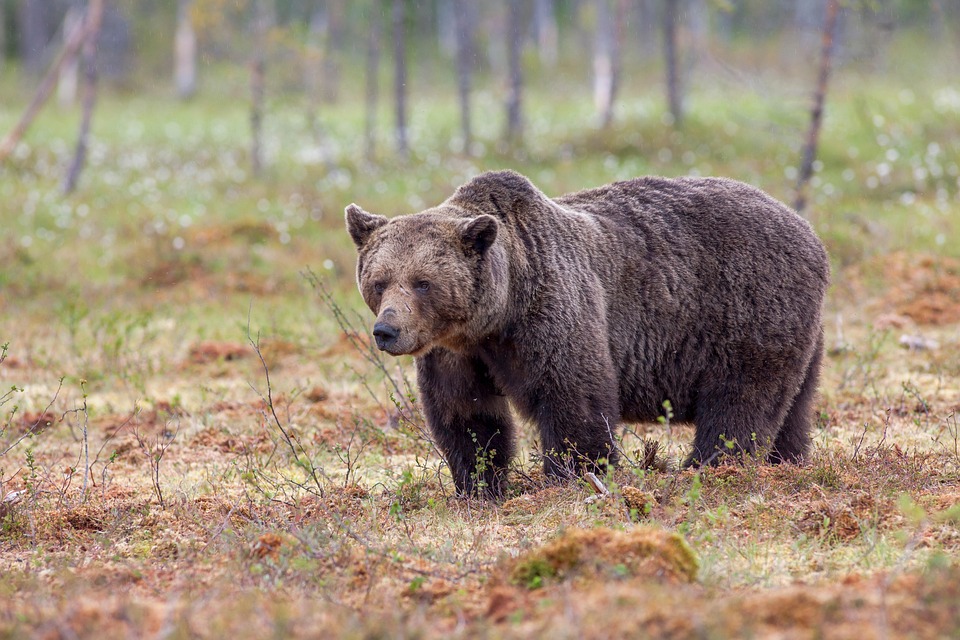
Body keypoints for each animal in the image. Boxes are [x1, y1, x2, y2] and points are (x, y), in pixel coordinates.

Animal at [345, 170, 829, 497]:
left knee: (740, 400)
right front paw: (479, 484)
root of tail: (808, 229)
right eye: (379, 280)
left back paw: (709, 467)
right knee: (794, 405)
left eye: (422, 281)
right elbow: (467, 415)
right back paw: (787, 462)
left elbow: (573, 397)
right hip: (805, 335)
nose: (387, 330)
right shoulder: (456, 352)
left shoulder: (552, 310)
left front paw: (575, 476)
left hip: (748, 309)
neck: (495, 315)